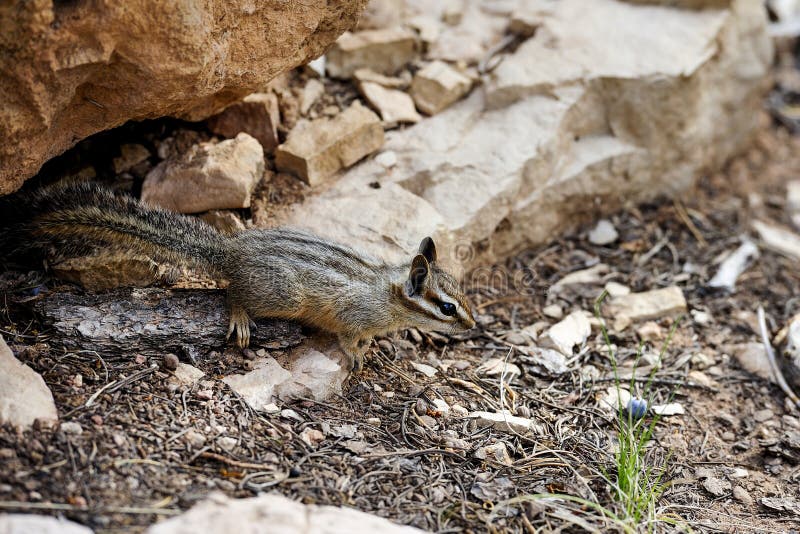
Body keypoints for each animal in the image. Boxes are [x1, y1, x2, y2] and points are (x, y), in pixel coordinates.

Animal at [0, 182, 476, 370]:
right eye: (447, 307)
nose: (475, 326)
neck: (387, 292)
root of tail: (230, 251)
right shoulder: (352, 315)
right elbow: (346, 338)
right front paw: (358, 354)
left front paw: (375, 348)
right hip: (280, 295)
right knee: (233, 292)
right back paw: (240, 316)